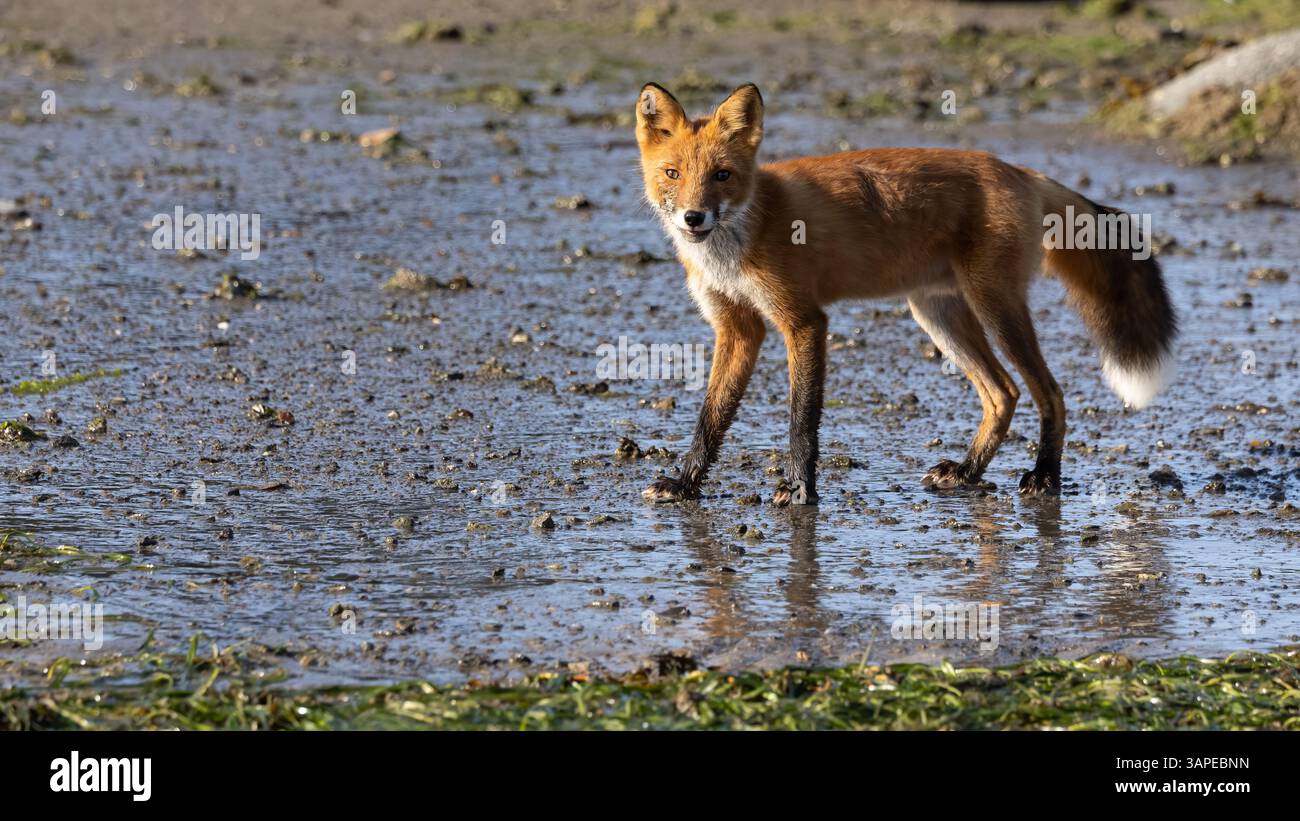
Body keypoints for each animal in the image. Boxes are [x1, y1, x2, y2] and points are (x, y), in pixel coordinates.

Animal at [635, 82, 1177, 506]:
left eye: (722, 175)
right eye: (673, 174)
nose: (693, 218)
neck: (739, 241)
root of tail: (1019, 171)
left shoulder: (803, 320)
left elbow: (801, 419)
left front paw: (800, 489)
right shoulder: (738, 327)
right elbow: (711, 417)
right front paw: (685, 484)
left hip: (994, 306)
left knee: (1051, 392)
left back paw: (1044, 474)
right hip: (938, 313)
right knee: (1003, 393)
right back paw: (968, 471)